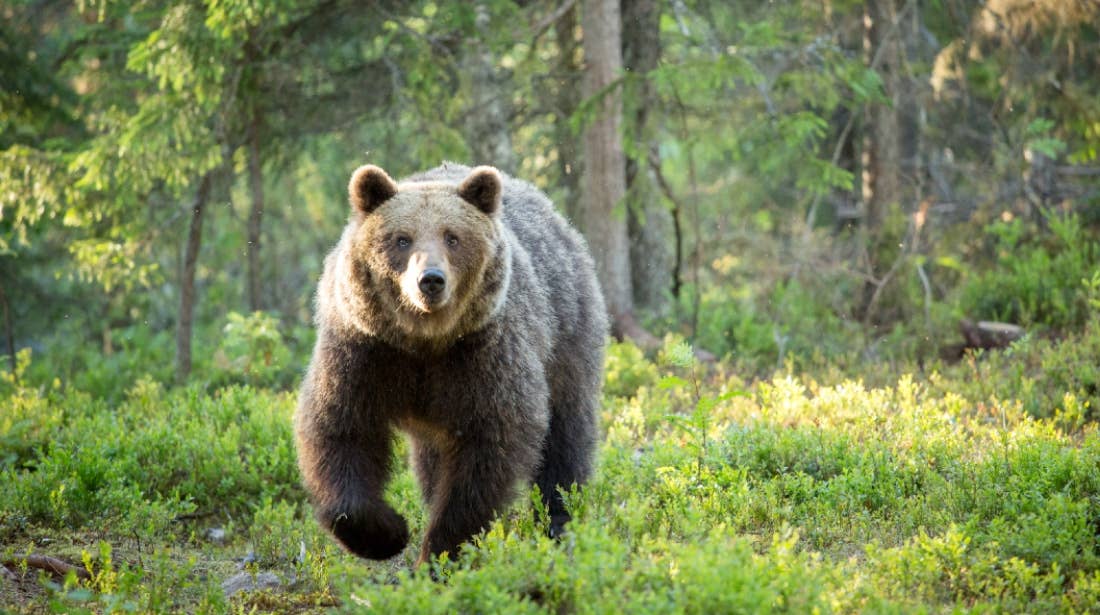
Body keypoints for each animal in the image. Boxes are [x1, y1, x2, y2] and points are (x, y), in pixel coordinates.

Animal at [294, 162, 607, 565]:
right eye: (402, 239)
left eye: (452, 237)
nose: (430, 280)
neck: (425, 341)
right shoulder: (364, 351)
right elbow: (340, 429)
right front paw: (388, 533)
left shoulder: (483, 355)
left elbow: (487, 451)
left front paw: (440, 552)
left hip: (565, 333)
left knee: (566, 434)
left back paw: (559, 520)